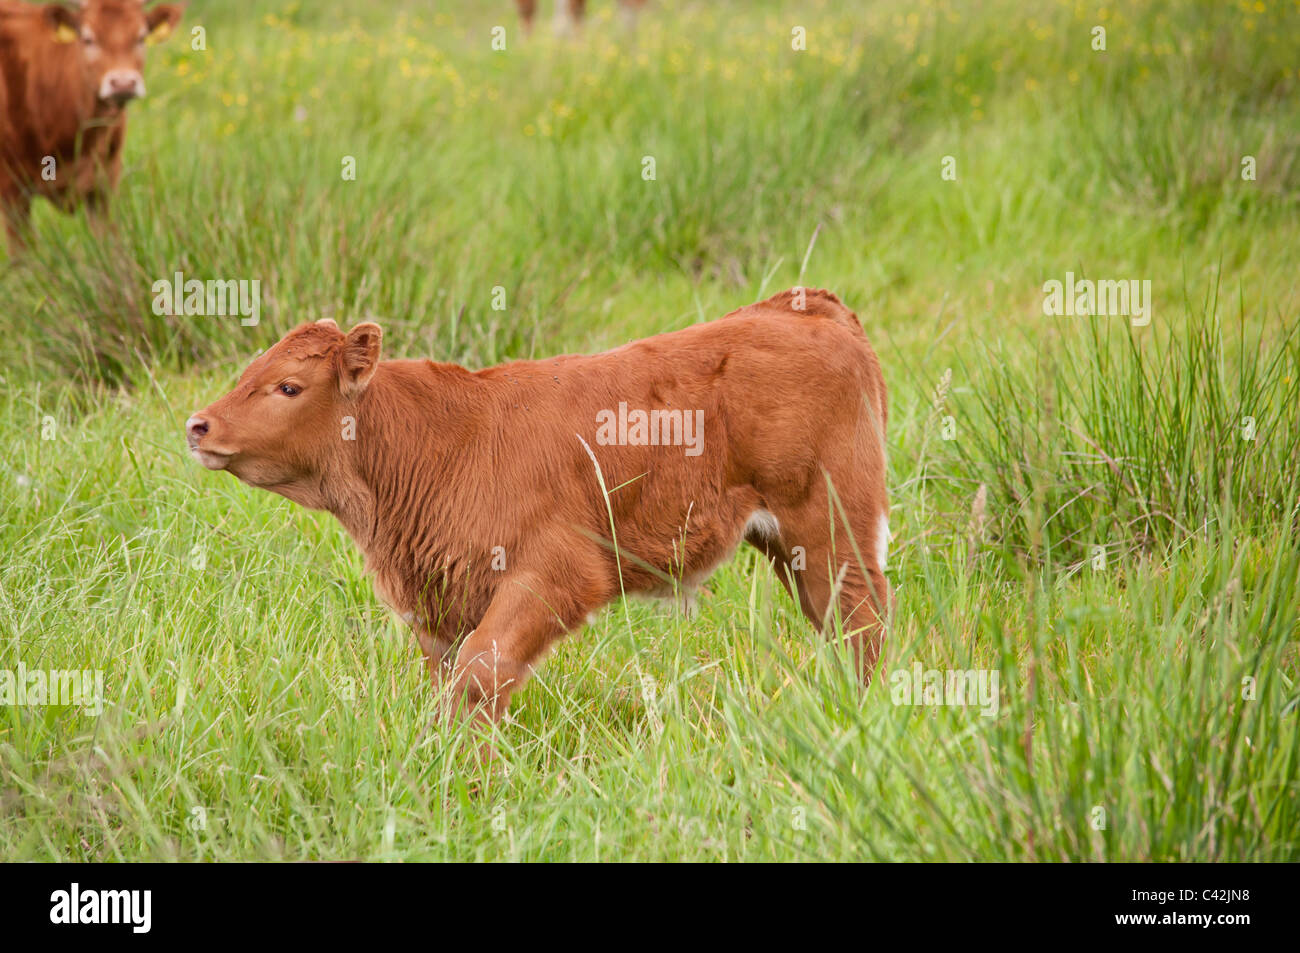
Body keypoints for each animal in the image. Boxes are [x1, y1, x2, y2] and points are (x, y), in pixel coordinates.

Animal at [186, 289, 891, 728]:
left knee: (864, 620)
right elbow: (451, 682)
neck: (442, 442)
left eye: (288, 386)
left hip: (830, 525)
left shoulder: (556, 571)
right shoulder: (437, 600)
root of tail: (801, 308)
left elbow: (481, 673)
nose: (198, 425)